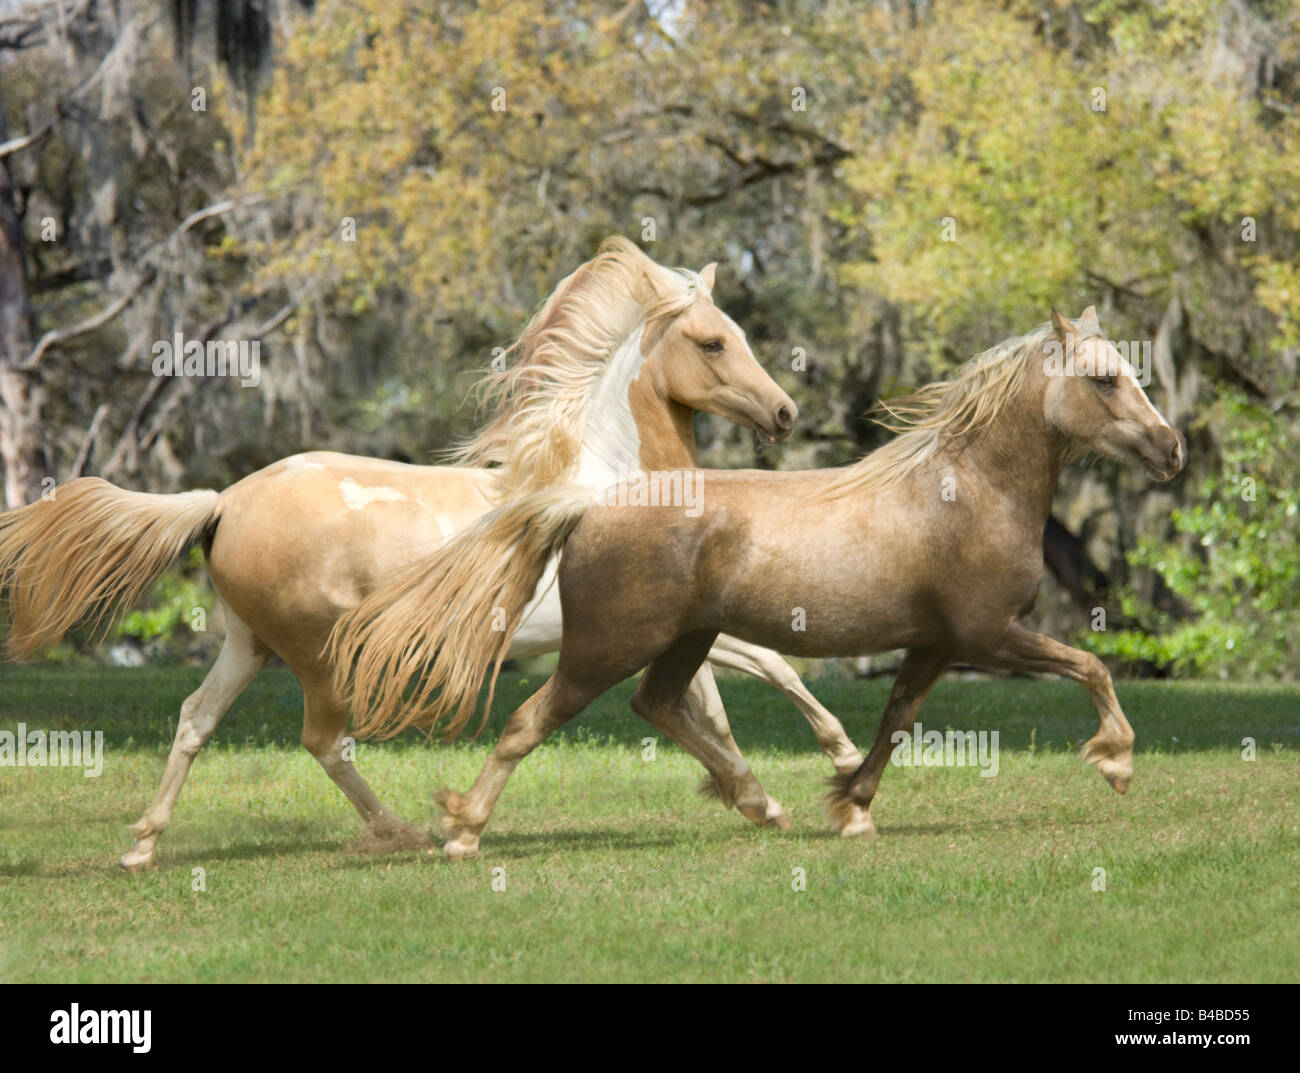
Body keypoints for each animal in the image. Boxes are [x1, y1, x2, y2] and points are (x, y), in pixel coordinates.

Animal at [0, 237, 864, 871]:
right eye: (714, 341)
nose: (784, 412)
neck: (603, 479)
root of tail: (225, 501)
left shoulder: (670, 624)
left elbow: (720, 695)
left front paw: (761, 793)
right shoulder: (635, 625)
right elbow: (760, 669)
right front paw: (829, 769)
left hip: (249, 644)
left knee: (194, 719)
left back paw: (143, 845)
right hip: (317, 651)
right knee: (323, 740)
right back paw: (409, 832)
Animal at [335, 307, 1186, 859]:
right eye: (1105, 379)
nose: (1171, 448)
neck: (964, 491)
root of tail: (590, 502)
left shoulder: (936, 645)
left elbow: (894, 722)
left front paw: (850, 807)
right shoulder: (989, 635)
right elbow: (1091, 666)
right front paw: (1116, 760)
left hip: (688, 638)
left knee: (657, 705)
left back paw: (759, 802)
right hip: (606, 647)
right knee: (527, 721)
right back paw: (463, 830)